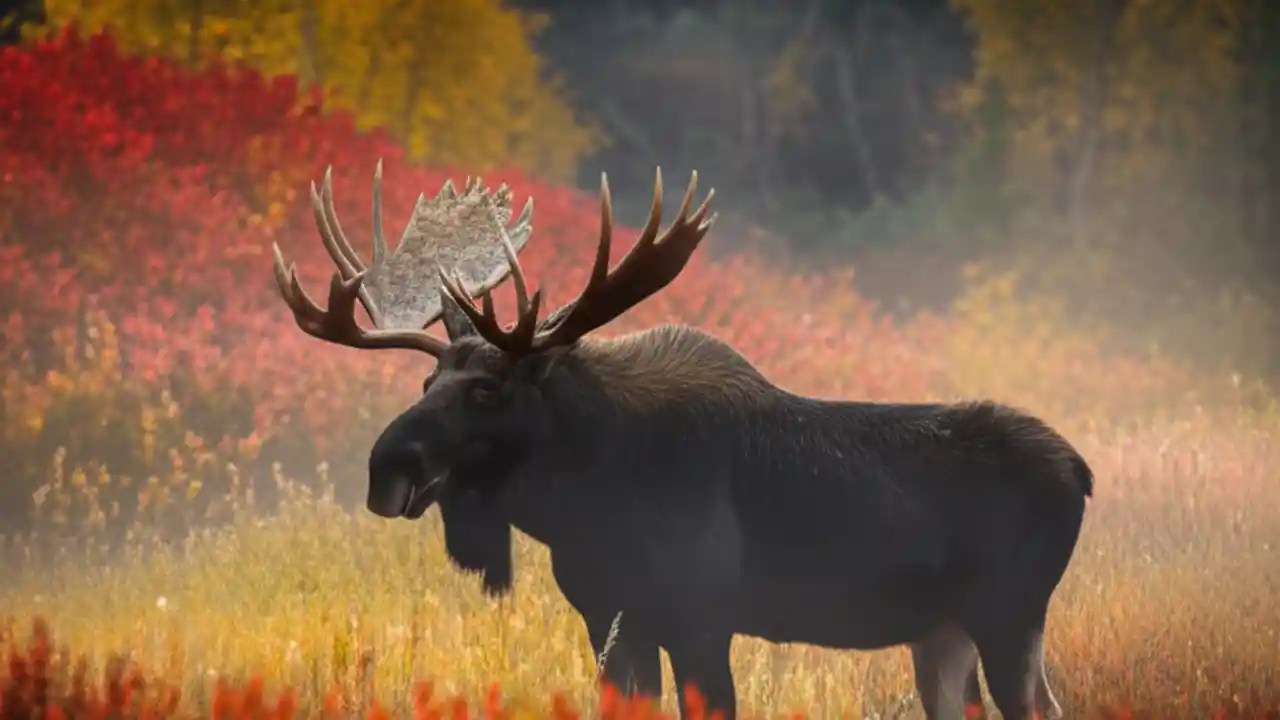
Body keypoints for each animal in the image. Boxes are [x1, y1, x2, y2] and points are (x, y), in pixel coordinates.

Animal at [270, 162, 1092, 720]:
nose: (387, 468)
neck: (581, 502)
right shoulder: (610, 619)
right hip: (942, 631)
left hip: (1010, 614)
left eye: (487, 389)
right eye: (424, 382)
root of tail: (1083, 473)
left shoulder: (701, 620)